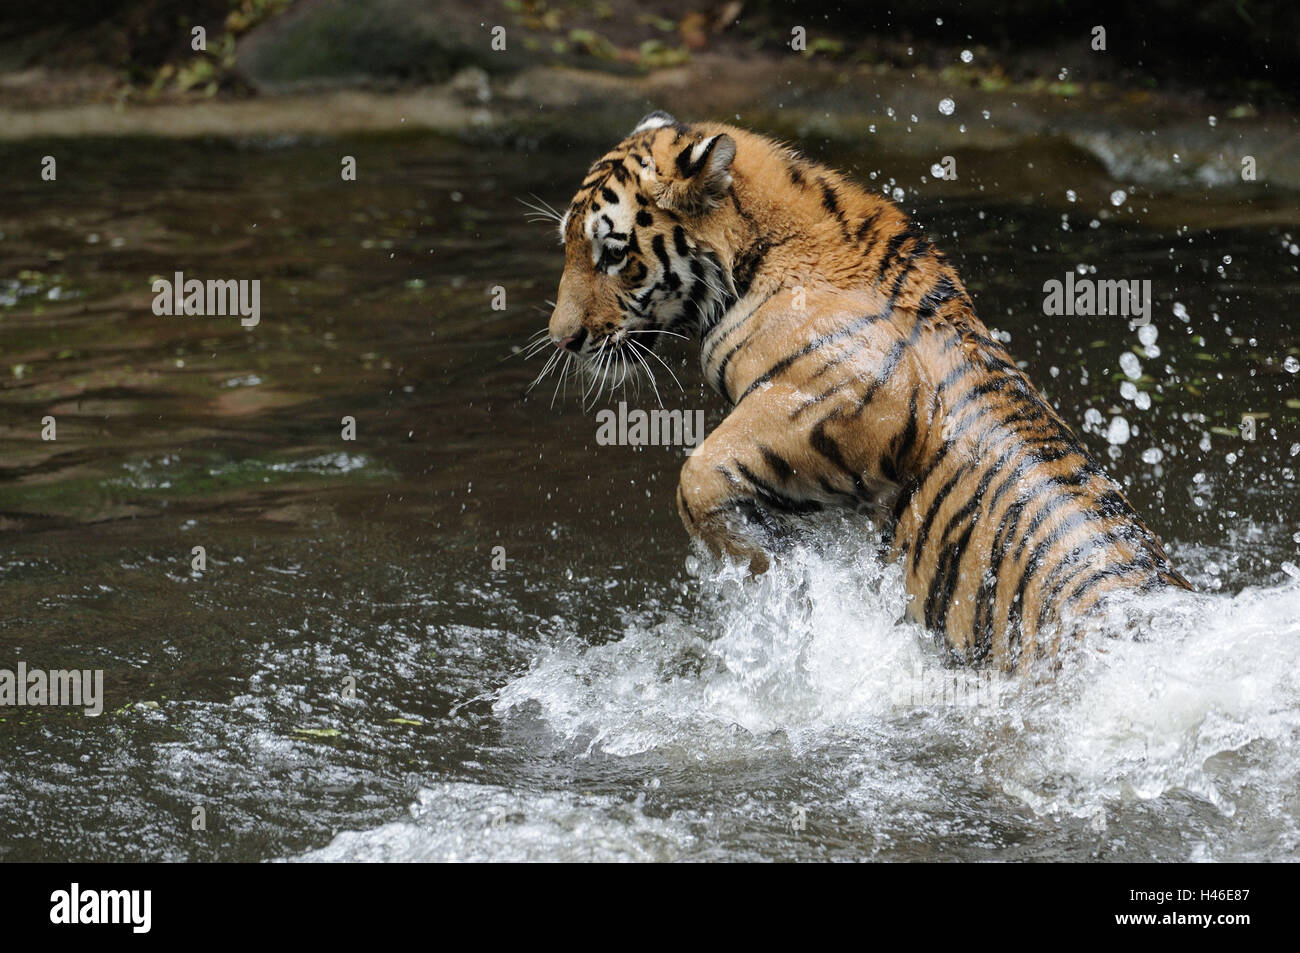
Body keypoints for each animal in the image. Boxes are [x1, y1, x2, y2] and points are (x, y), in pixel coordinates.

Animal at [537, 110, 1191, 670]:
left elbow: (698, 473)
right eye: (566, 244)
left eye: (613, 253)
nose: (561, 339)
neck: (755, 254)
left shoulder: (862, 391)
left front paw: (767, 568)